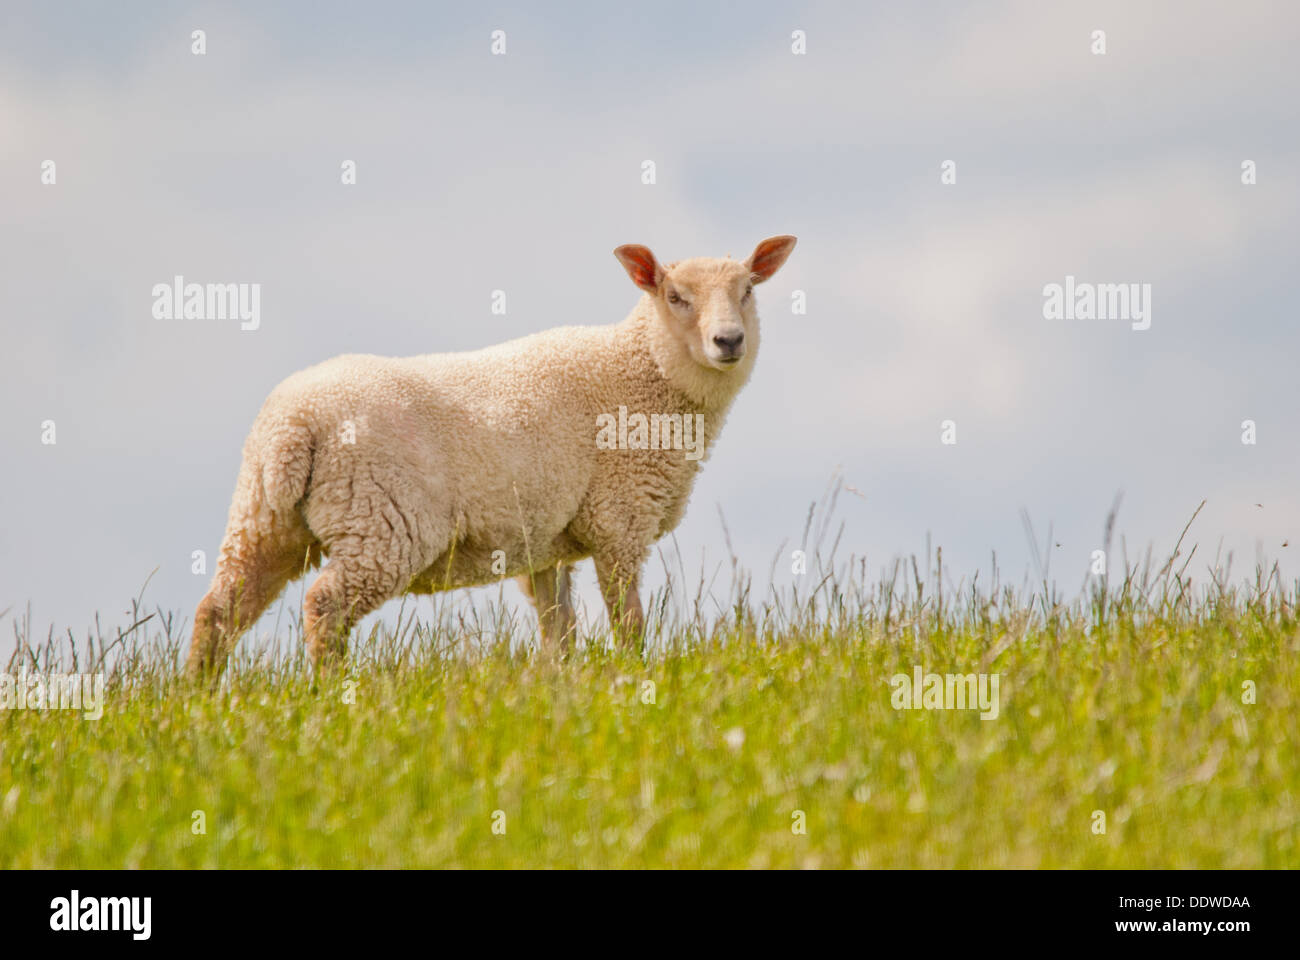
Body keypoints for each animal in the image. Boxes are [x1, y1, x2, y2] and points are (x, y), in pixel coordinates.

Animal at [185, 235, 797, 678]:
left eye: (748, 290)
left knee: (219, 610)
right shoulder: (619, 520)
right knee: (324, 606)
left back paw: (199, 696)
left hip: (264, 520)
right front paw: (636, 676)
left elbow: (558, 630)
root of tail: (294, 425)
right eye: (675, 297)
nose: (729, 341)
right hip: (382, 522)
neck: (644, 372)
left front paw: (560, 685)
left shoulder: (548, 540)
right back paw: (330, 692)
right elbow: (628, 622)